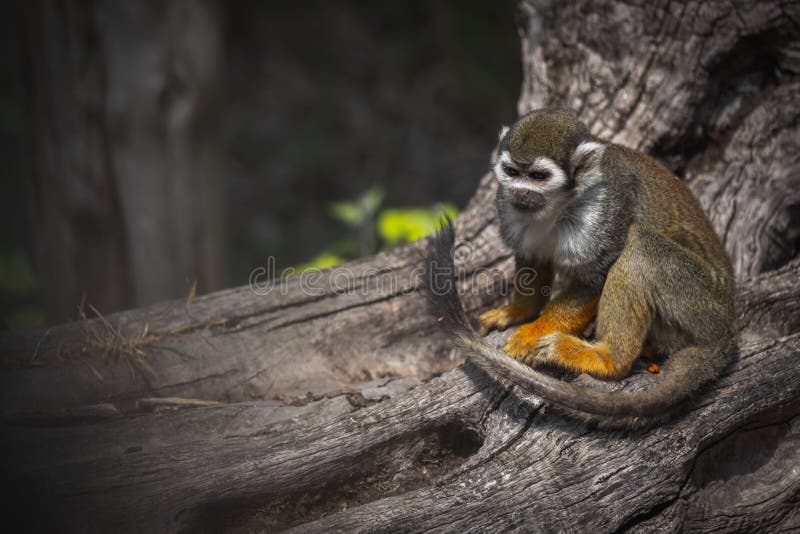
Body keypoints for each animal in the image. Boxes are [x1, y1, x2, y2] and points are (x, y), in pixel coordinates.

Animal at [426, 109, 736, 429]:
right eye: (512, 172)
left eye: (537, 176)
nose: (520, 191)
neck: (560, 206)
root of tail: (725, 331)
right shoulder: (505, 202)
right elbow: (532, 258)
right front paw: (518, 312)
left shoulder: (602, 213)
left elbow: (593, 280)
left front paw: (532, 332)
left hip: (702, 304)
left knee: (641, 244)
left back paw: (608, 360)